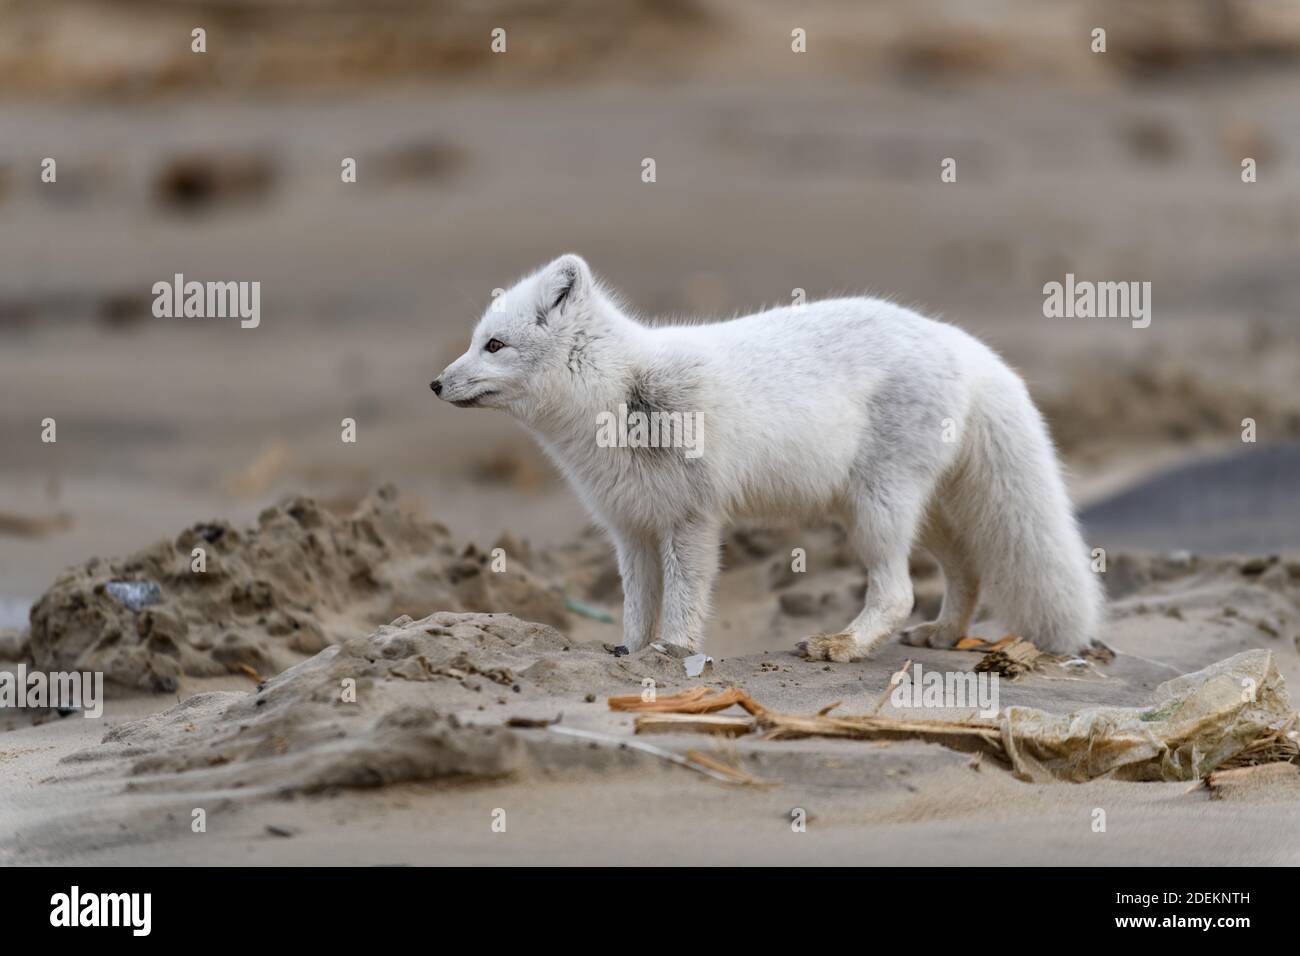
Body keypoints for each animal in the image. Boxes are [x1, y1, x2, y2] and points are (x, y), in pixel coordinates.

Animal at [431, 254, 1103, 662]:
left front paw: (671, 654)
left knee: (897, 592)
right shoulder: (632, 528)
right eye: (475, 341)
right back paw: (943, 634)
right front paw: (632, 652)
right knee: (966, 571)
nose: (435, 384)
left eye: (494, 345)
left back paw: (843, 644)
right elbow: (636, 606)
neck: (617, 394)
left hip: (877, 509)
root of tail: (963, 343)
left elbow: (684, 600)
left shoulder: (692, 520)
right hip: (917, 511)